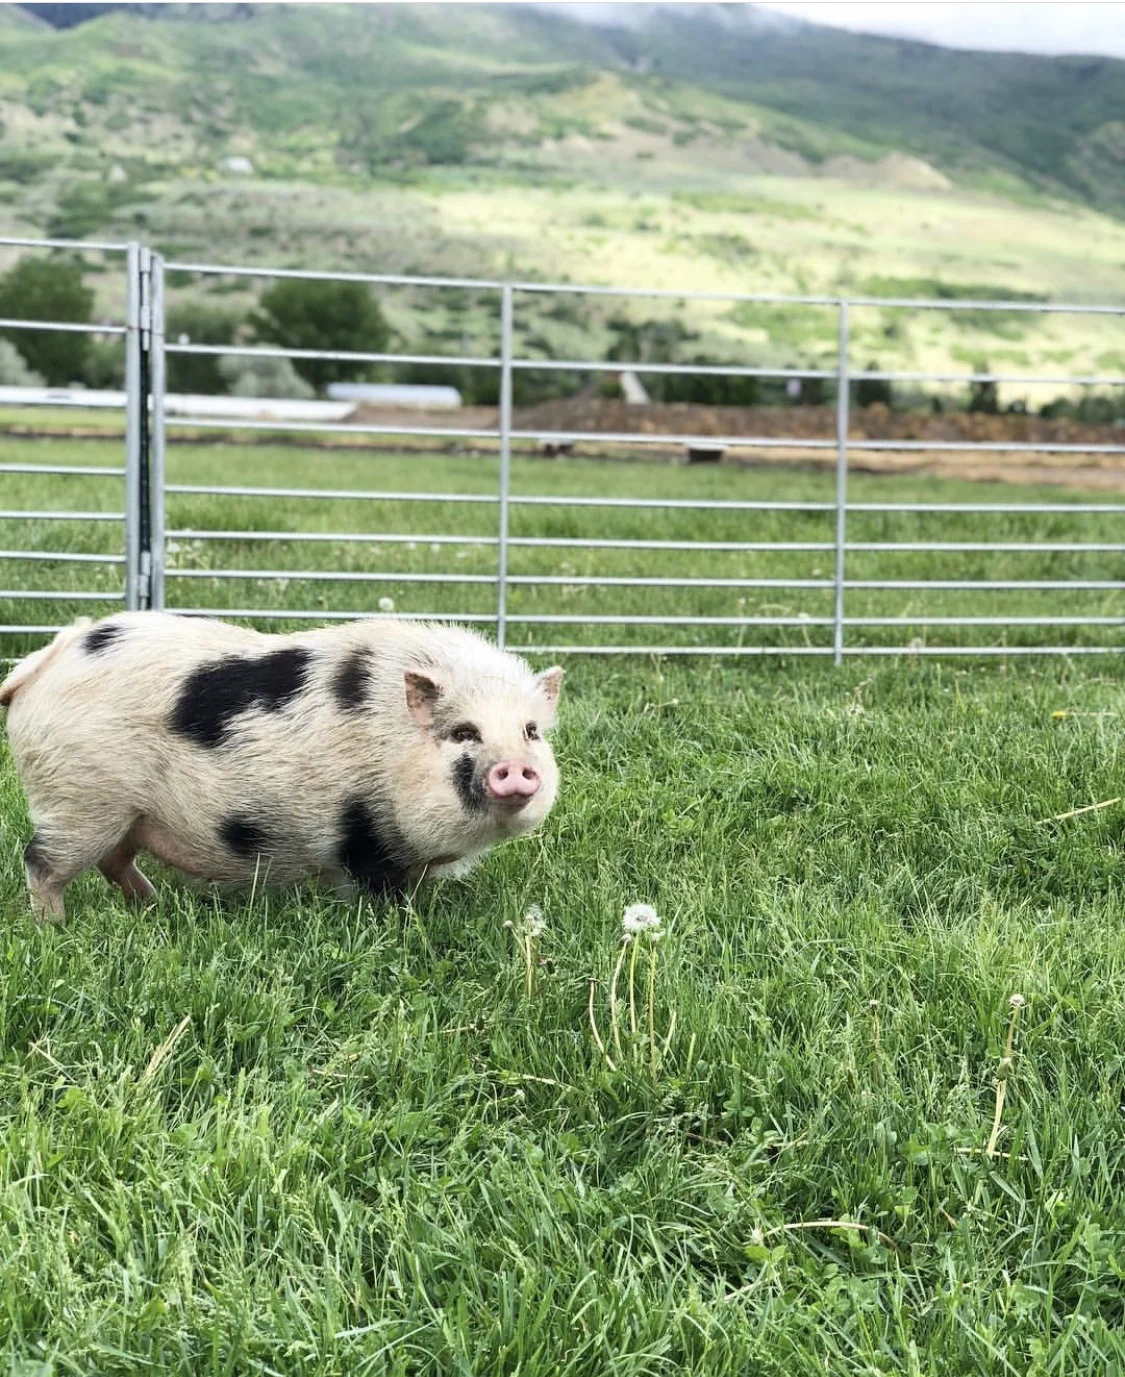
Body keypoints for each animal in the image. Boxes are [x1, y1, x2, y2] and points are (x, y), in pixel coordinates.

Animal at [0, 612, 563, 924]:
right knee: (42, 861)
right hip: (80, 797)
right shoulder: (365, 838)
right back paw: (54, 927)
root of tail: (44, 663)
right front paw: (397, 927)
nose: (515, 768)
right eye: (464, 732)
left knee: (113, 860)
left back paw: (152, 905)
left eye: (531, 732)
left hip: (119, 811)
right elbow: (377, 891)